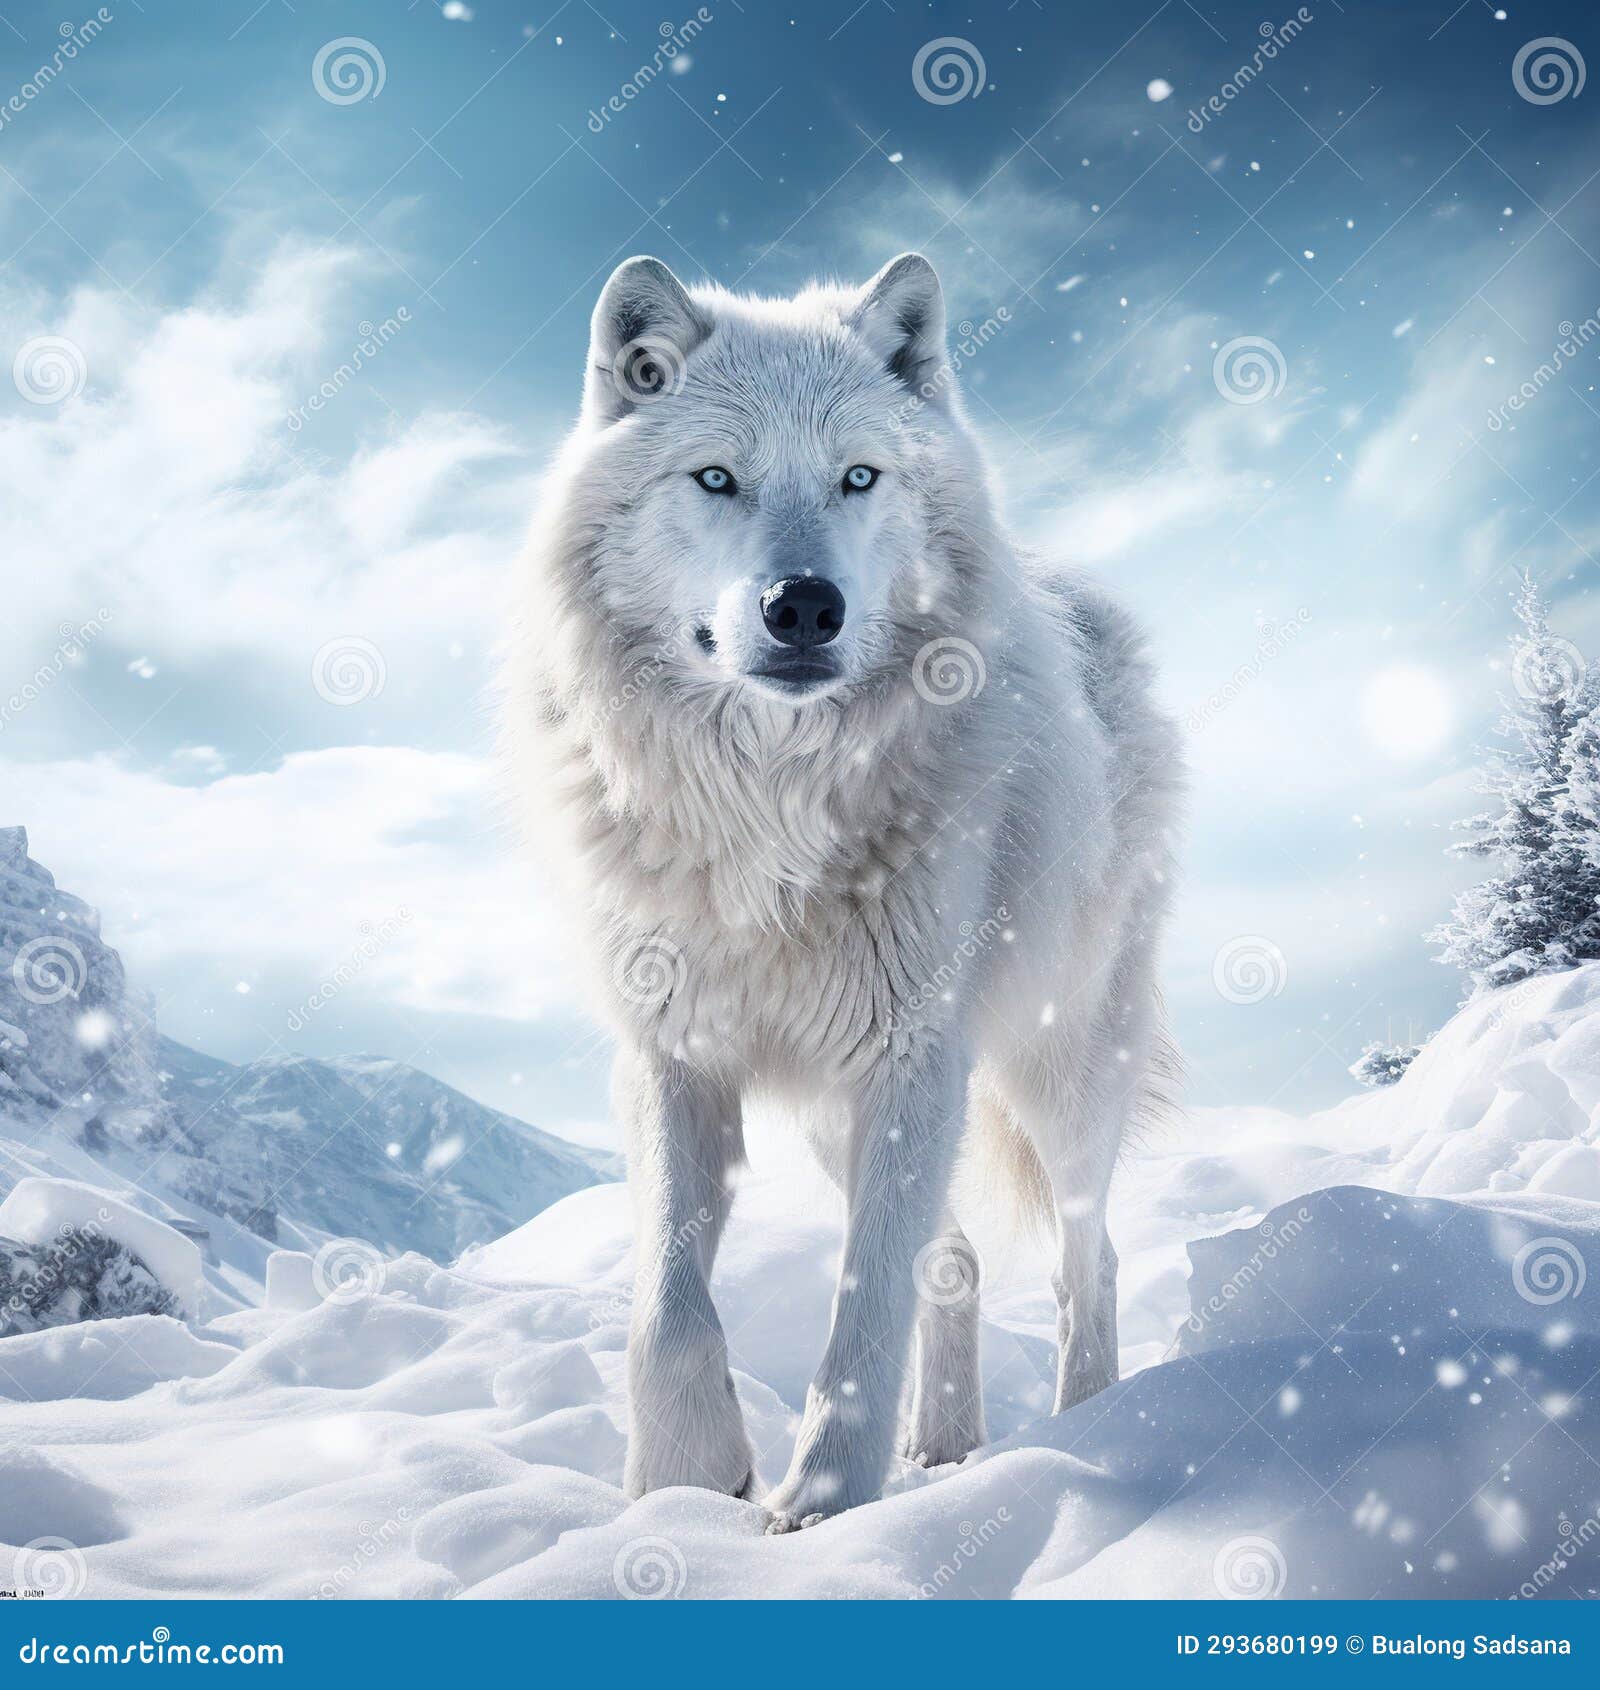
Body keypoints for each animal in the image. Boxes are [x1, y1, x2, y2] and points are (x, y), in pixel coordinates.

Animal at [504, 252, 1183, 1530]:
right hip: (835, 1110)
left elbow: (864, 1311)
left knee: (1090, 1260)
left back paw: (1091, 1427)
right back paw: (947, 1451)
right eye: (716, 478)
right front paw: (679, 1488)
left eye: (858, 476)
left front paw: (817, 1512)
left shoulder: (913, 1057)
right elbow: (666, 1308)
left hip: (1055, 1069)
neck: (769, 810)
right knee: (957, 1258)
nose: (804, 604)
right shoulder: (672, 1057)